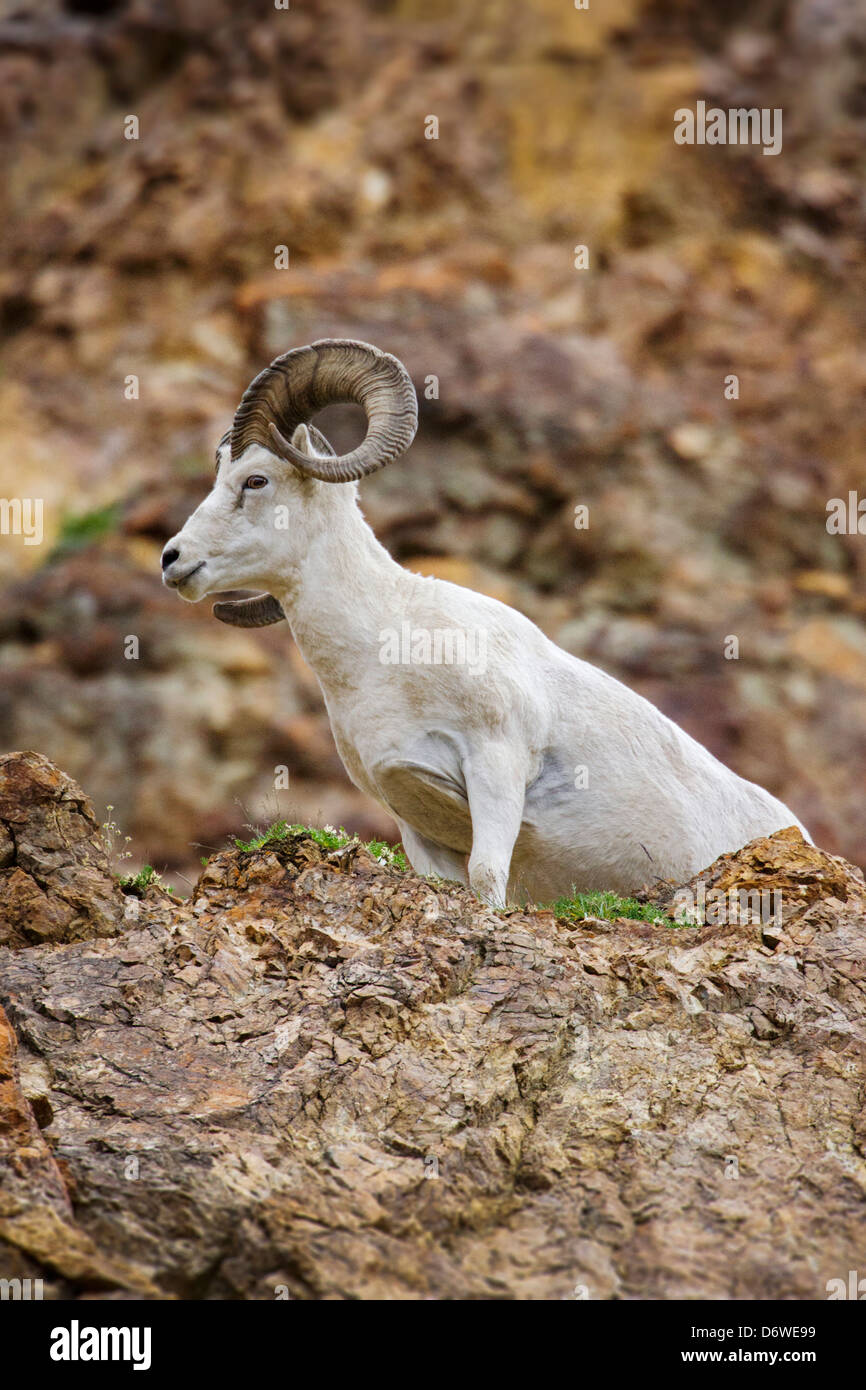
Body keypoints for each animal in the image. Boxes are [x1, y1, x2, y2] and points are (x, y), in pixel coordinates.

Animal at [161, 338, 809, 907]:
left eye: (256, 480)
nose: (173, 559)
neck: (385, 656)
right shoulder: (414, 821)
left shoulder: (495, 771)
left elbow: (487, 878)